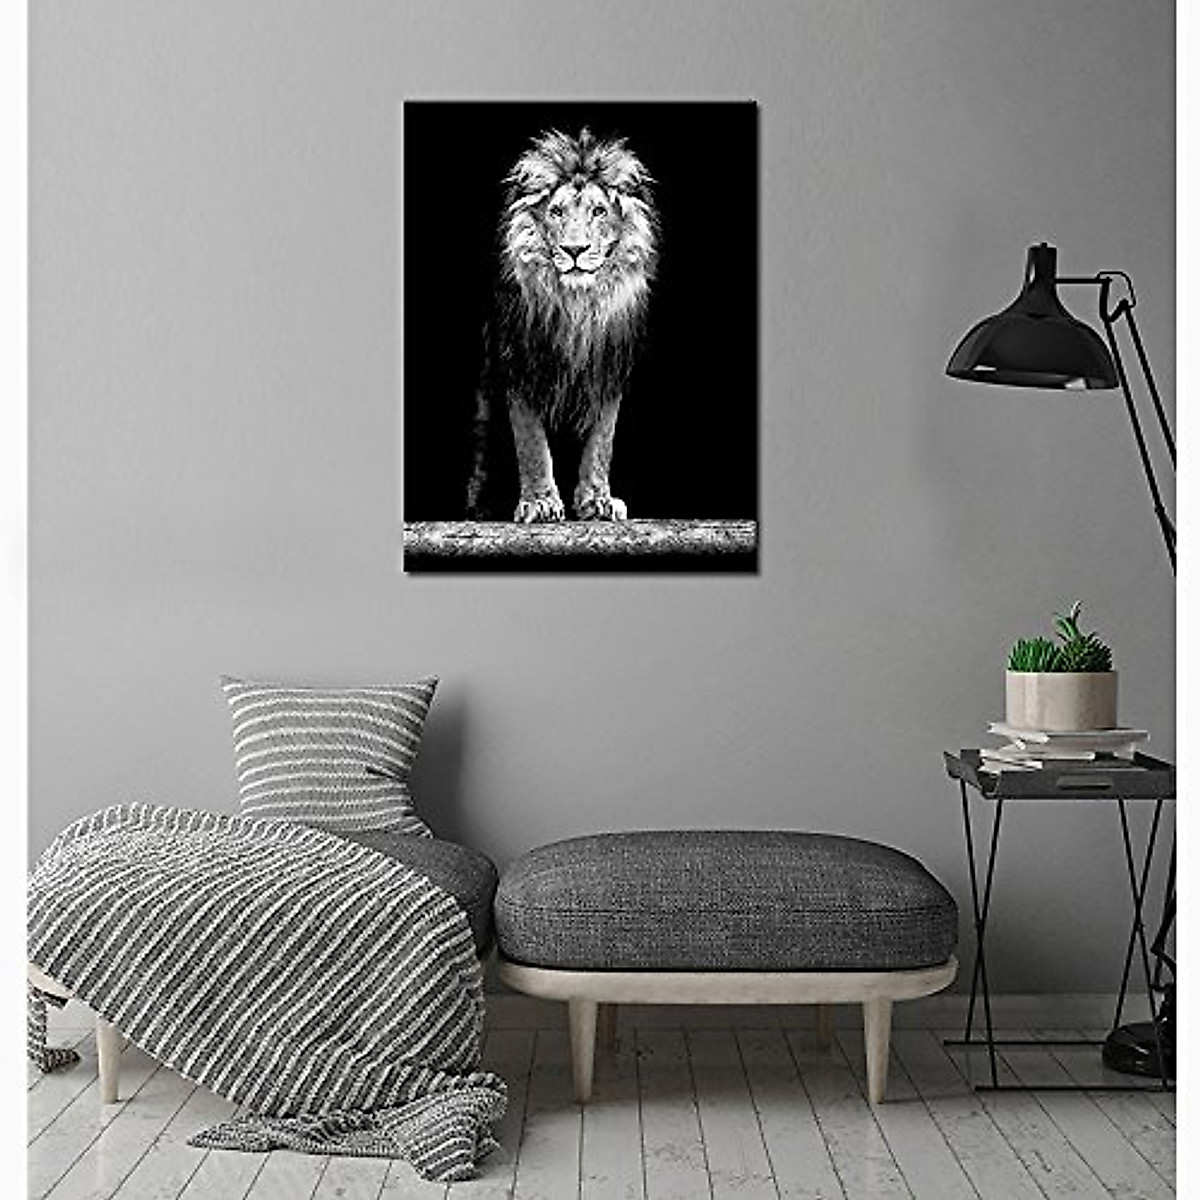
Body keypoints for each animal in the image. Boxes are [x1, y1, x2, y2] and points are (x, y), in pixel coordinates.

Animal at [465, 127, 659, 523]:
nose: (574, 250)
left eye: (599, 211)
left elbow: (602, 441)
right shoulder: (519, 366)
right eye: (556, 211)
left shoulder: (607, 369)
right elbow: (531, 443)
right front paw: (539, 502)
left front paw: (597, 501)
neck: (577, 306)